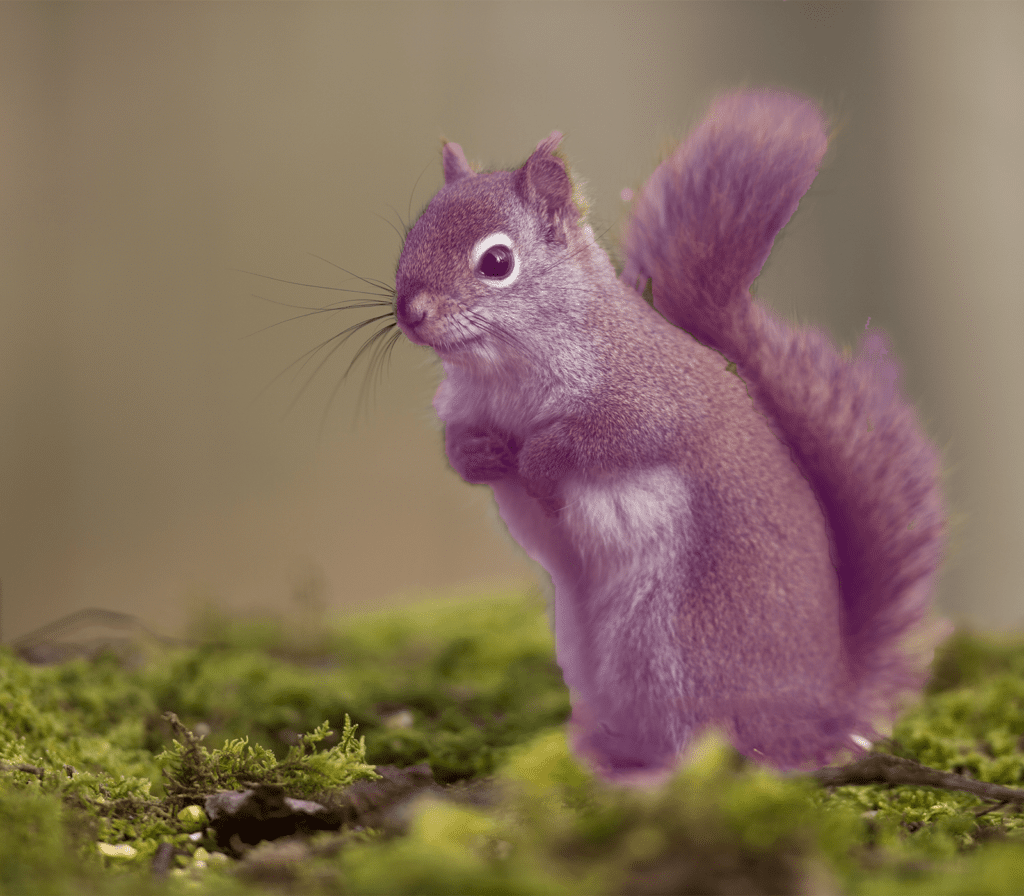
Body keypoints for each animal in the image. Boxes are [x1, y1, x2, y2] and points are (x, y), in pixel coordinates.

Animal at [392, 90, 946, 782]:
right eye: (412, 232)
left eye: (497, 261)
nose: (410, 312)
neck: (505, 371)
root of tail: (823, 709)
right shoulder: (464, 405)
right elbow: (458, 447)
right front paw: (480, 456)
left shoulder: (648, 399)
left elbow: (601, 440)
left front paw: (541, 464)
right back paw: (601, 752)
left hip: (675, 645)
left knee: (724, 749)